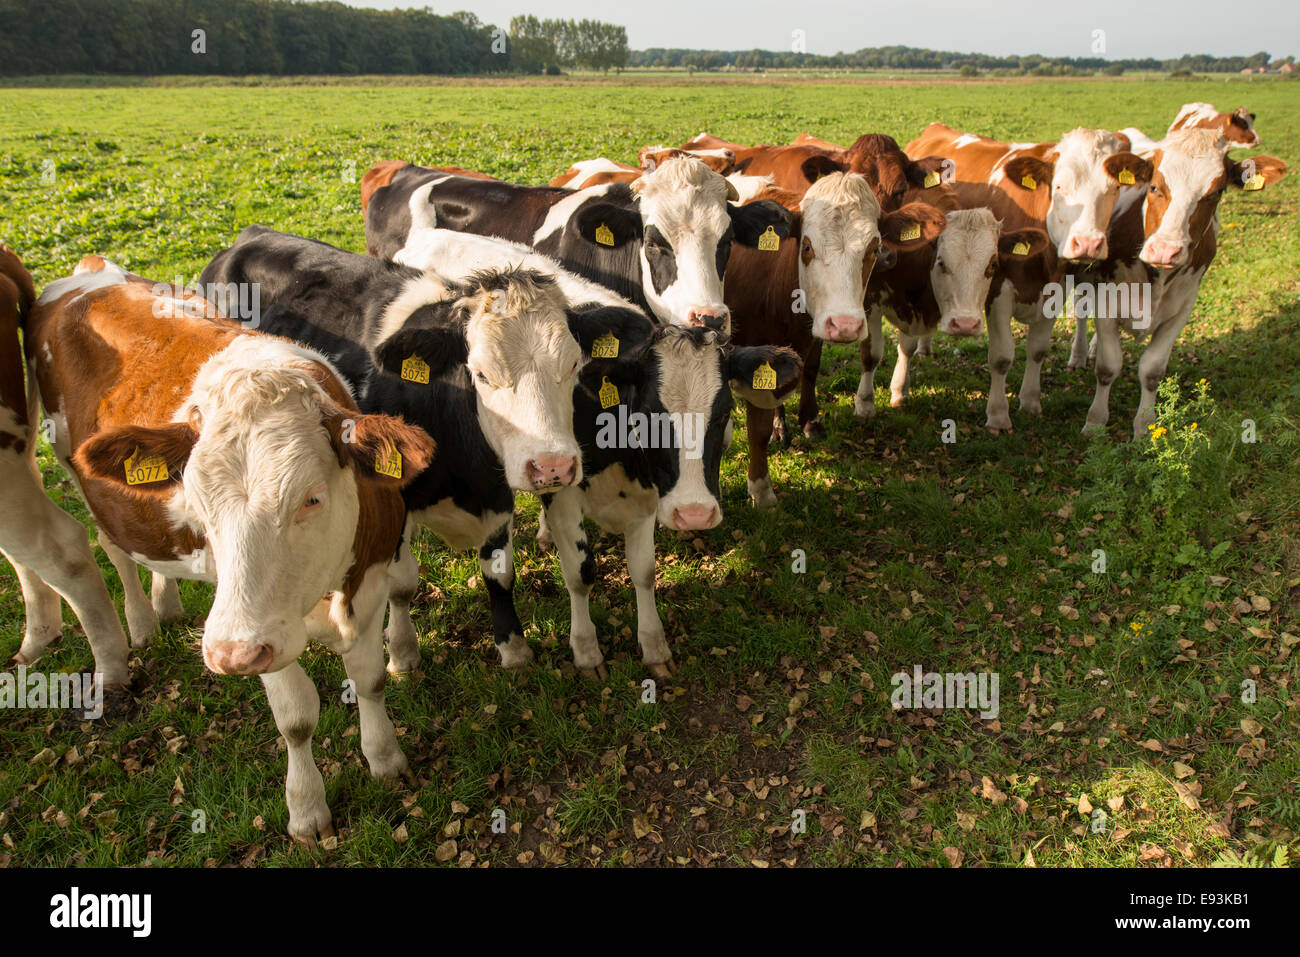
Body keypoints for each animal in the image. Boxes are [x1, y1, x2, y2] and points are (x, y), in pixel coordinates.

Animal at [26, 257, 434, 842]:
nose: (229, 656)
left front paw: (384, 759)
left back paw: (166, 603)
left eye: (311, 498)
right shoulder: (253, 628)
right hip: (72, 467)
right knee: (113, 547)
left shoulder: (373, 574)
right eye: (197, 502)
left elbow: (371, 680)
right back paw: (140, 622)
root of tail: (91, 268)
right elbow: (296, 717)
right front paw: (306, 809)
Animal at [200, 225, 650, 672]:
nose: (552, 466)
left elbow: (499, 574)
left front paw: (513, 647)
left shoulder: (498, 497)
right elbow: (401, 585)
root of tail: (249, 235)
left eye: (573, 365)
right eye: (481, 374)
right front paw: (402, 653)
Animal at [541, 323, 800, 675]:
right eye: (649, 413)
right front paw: (586, 651)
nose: (694, 514)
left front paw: (653, 645)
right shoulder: (561, 496)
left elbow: (643, 571)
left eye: (724, 412)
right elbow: (580, 575)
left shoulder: (644, 498)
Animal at [1079, 130, 1286, 437]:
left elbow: (1152, 370)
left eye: (1216, 192)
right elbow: (1108, 366)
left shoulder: (1183, 307)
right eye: (1154, 186)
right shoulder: (1105, 296)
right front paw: (1095, 422)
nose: (1166, 250)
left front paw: (1145, 426)